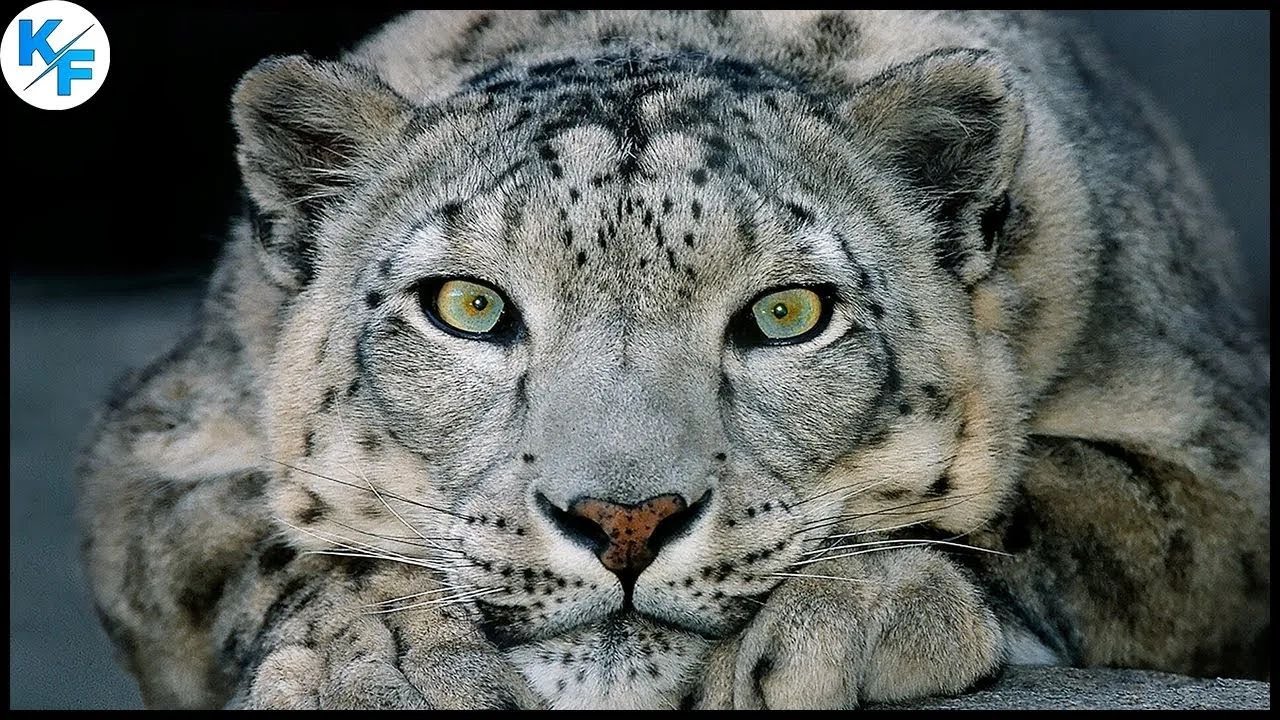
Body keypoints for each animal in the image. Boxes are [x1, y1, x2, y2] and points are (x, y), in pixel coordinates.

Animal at [77, 10, 1269, 710]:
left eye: (787, 314)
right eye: (468, 305)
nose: (624, 521)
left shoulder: (1213, 454)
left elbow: (1037, 505)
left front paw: (845, 618)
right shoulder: (160, 445)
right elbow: (266, 540)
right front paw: (377, 657)